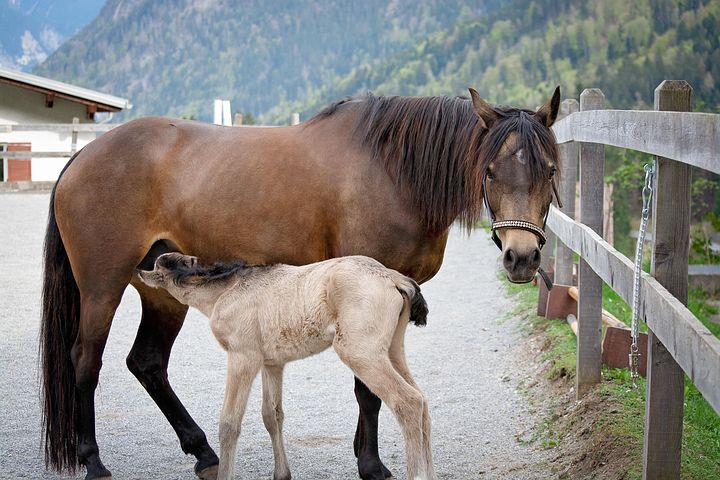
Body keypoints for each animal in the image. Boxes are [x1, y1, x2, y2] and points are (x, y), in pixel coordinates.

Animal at [136, 252, 433, 480]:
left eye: (159, 263)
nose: (139, 269)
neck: (227, 291)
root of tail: (392, 277)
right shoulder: (272, 364)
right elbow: (272, 415)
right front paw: (282, 474)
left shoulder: (243, 357)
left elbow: (230, 422)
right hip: (391, 351)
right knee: (422, 403)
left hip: (360, 353)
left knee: (407, 401)